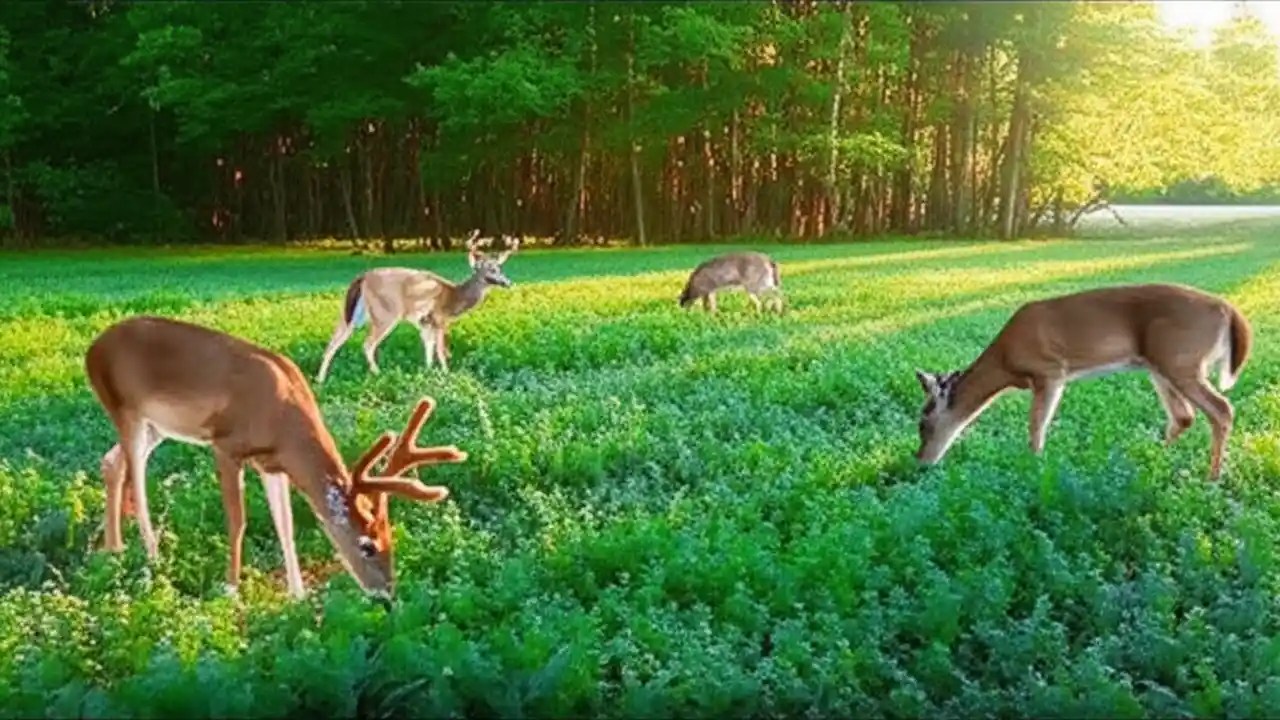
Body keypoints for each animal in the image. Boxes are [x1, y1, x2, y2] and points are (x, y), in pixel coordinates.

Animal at [85, 315, 468, 602]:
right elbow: (238, 521)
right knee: (137, 480)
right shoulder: (226, 445)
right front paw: (231, 590)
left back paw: (113, 550)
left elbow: (285, 524)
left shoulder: (272, 464)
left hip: (156, 428)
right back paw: (152, 562)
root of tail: (91, 349)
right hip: (126, 409)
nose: (386, 595)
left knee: (111, 462)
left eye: (390, 537)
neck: (283, 418)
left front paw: (297, 595)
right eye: (367, 546)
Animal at [316, 230, 520, 382]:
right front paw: (446, 373)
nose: (507, 282)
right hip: (385, 313)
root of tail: (362, 277)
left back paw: (320, 379)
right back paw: (378, 373)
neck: (454, 297)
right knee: (367, 343)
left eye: (499, 268)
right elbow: (440, 350)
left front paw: (428, 372)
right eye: (491, 270)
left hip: (353, 313)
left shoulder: (424, 323)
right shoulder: (439, 318)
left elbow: (428, 347)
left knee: (333, 341)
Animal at [912, 283, 1252, 481]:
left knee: (1222, 409)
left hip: (1182, 360)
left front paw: (1033, 466)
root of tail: (1230, 310)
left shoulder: (1050, 371)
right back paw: (1148, 460)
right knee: (1184, 416)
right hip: (1161, 365)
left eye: (923, 423)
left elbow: (1036, 426)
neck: (1007, 362)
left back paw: (1212, 478)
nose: (921, 461)